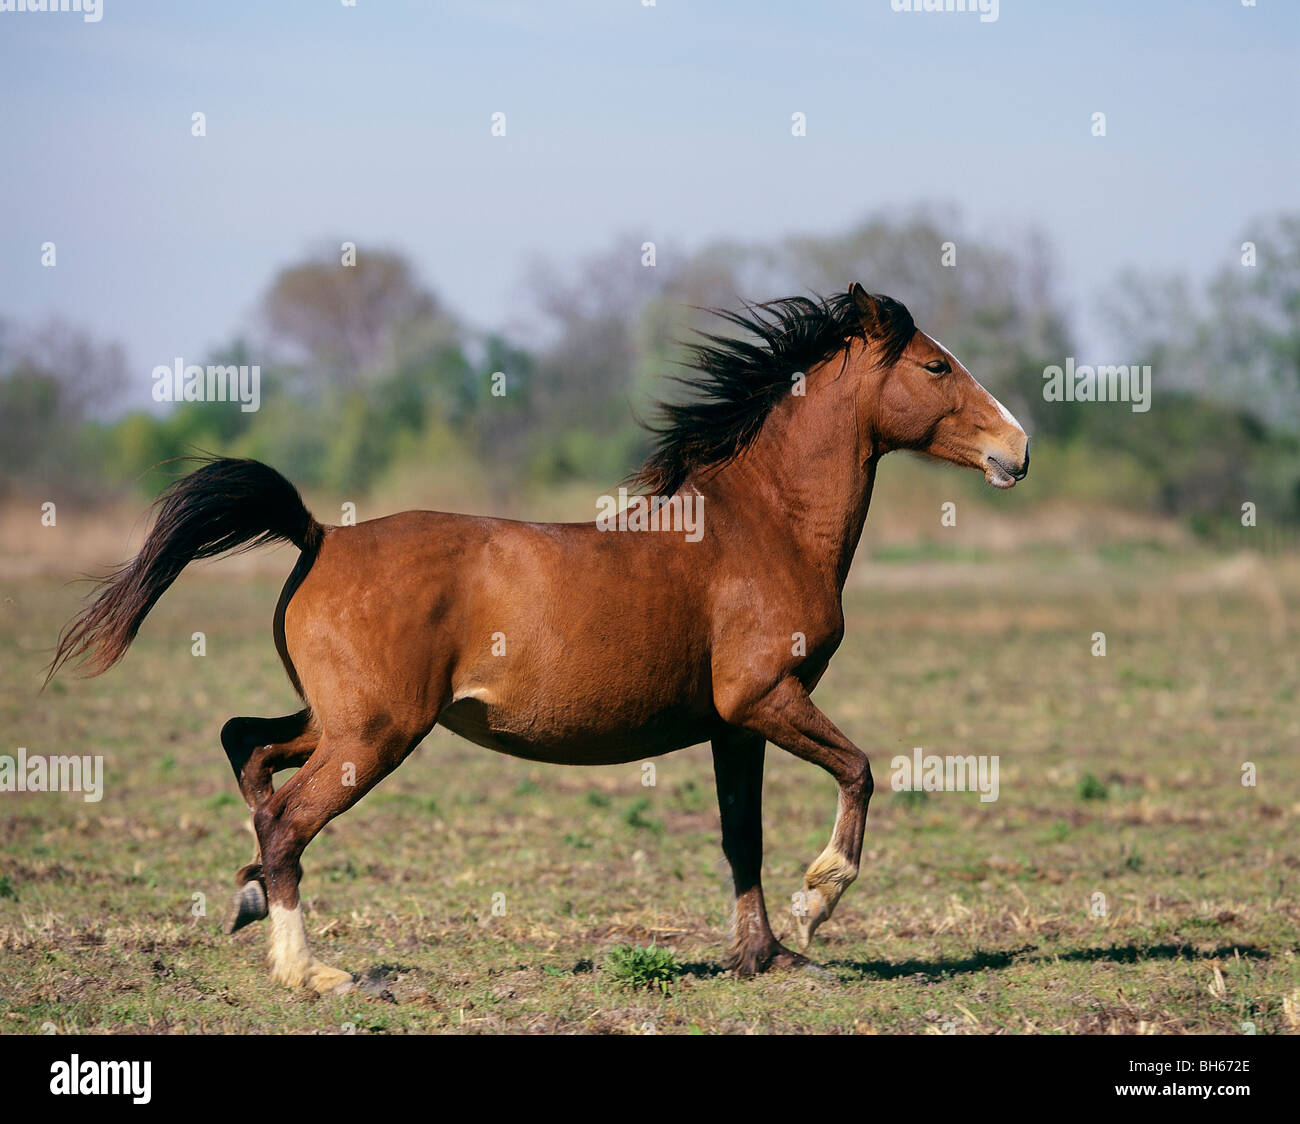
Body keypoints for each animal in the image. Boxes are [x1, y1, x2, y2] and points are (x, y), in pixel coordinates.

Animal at [47, 283, 1029, 994]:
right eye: (937, 365)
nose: (1016, 451)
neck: (761, 528)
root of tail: (319, 535)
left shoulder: (735, 724)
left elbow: (739, 835)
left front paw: (767, 958)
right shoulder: (764, 698)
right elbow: (860, 770)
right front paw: (817, 902)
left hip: (337, 721)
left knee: (248, 752)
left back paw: (250, 898)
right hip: (375, 734)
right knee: (288, 818)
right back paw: (311, 971)